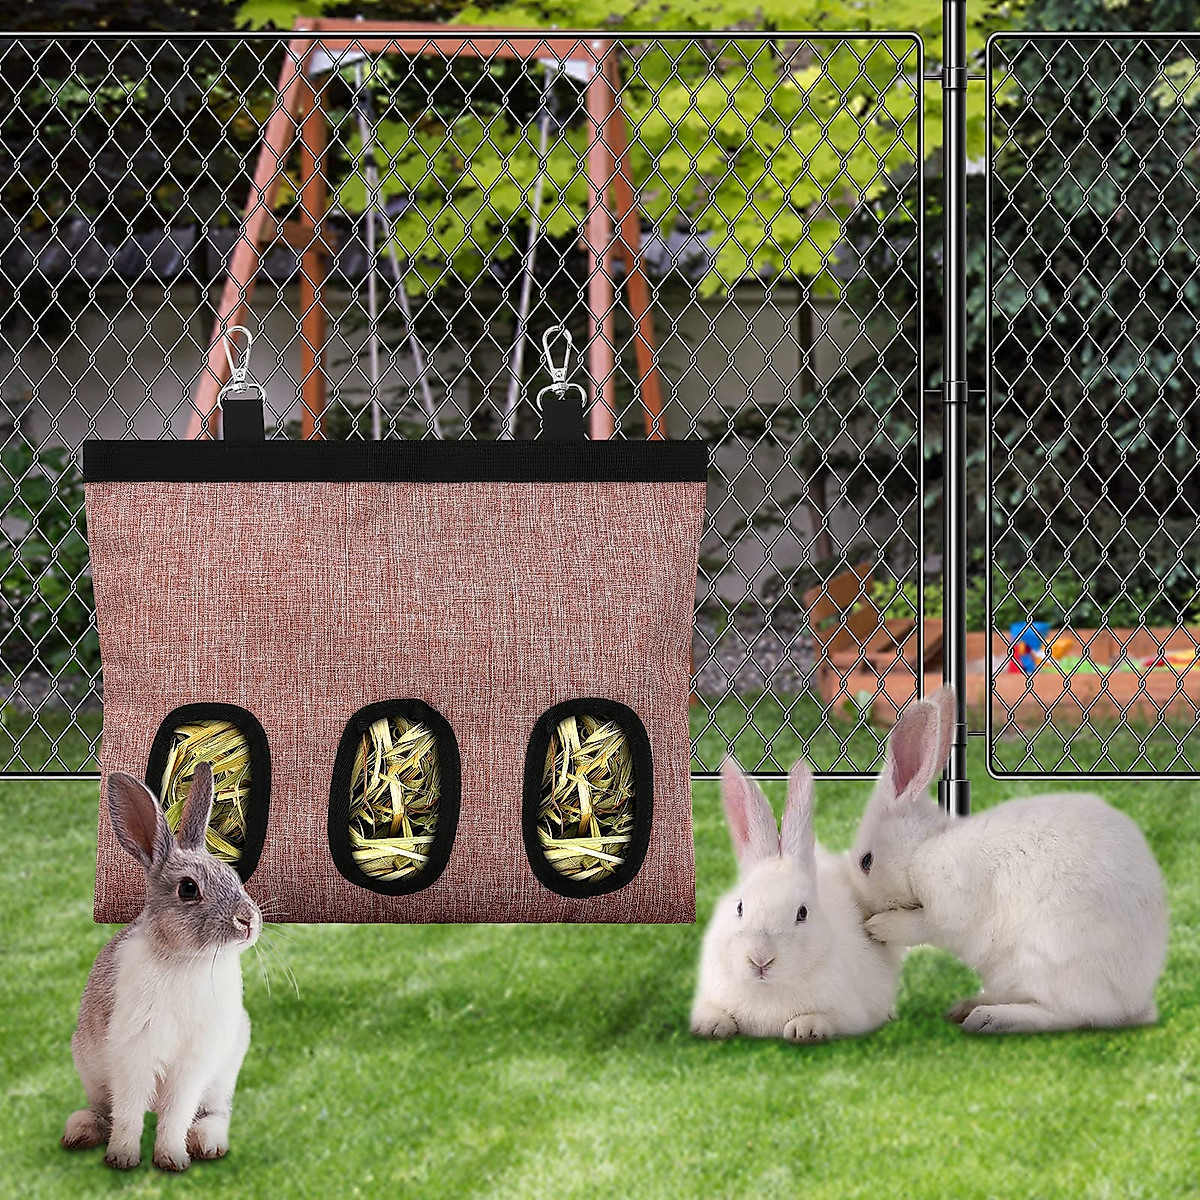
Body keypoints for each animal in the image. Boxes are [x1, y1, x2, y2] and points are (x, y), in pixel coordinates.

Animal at [61, 762, 261, 1170]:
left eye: (234, 877)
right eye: (188, 888)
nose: (248, 921)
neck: (185, 961)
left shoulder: (194, 1064)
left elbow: (176, 1113)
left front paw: (172, 1159)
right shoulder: (133, 1053)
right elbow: (129, 1112)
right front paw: (122, 1159)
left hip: (223, 1073)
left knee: (214, 1112)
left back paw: (208, 1143)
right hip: (89, 1066)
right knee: (104, 1110)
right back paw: (80, 1132)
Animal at [690, 757, 903, 1042]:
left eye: (802, 913)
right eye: (740, 907)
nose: (760, 959)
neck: (768, 990)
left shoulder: (849, 1015)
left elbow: (825, 1018)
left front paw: (805, 1029)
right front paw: (711, 1026)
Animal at [850, 685, 1169, 1034]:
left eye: (867, 861)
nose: (863, 910)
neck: (922, 848)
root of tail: (1135, 1002)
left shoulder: (947, 902)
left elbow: (923, 925)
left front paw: (878, 926)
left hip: (1046, 959)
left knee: (1074, 1014)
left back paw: (990, 1019)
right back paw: (967, 1006)